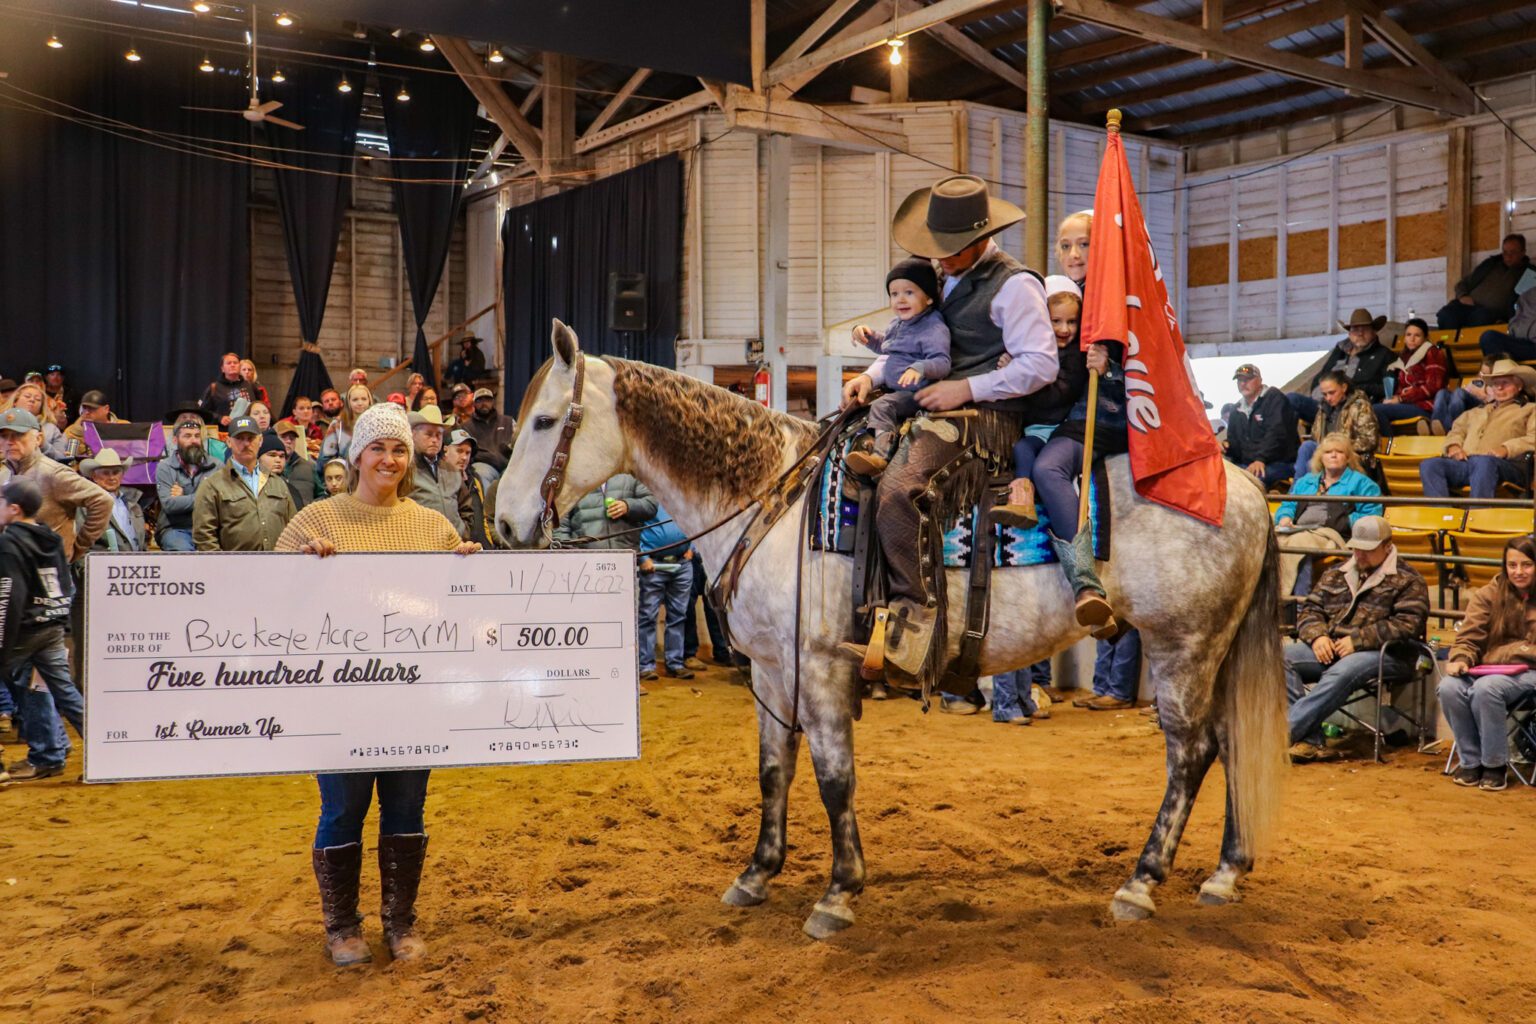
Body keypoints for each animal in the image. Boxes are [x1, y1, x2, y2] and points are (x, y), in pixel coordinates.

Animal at [496, 320, 1288, 940]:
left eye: (545, 422)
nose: (503, 524)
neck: (776, 501)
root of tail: (1242, 484)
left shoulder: (819, 666)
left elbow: (834, 777)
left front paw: (838, 893)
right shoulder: (770, 671)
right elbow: (774, 770)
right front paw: (756, 873)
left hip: (1181, 646)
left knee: (1191, 753)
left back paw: (1142, 882)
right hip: (1210, 650)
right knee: (1229, 743)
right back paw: (1225, 872)